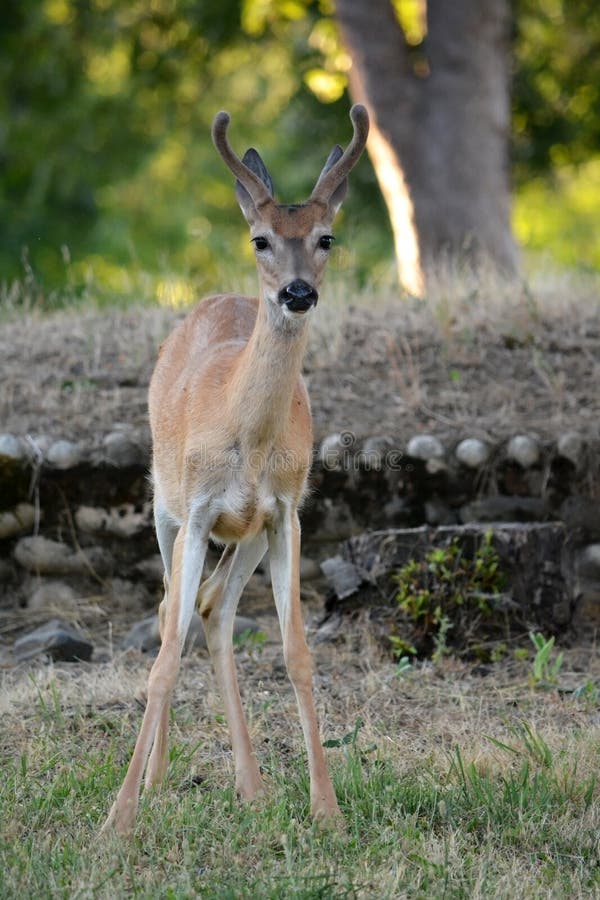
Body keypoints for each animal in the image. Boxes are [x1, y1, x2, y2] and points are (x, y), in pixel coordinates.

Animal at [102, 104, 369, 834]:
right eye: (260, 240)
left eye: (327, 237)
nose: (298, 292)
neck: (245, 437)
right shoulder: (195, 512)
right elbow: (165, 658)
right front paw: (118, 820)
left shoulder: (285, 514)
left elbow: (298, 654)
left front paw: (328, 810)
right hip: (164, 509)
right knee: (170, 609)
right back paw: (159, 775)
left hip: (245, 536)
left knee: (213, 608)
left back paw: (251, 786)